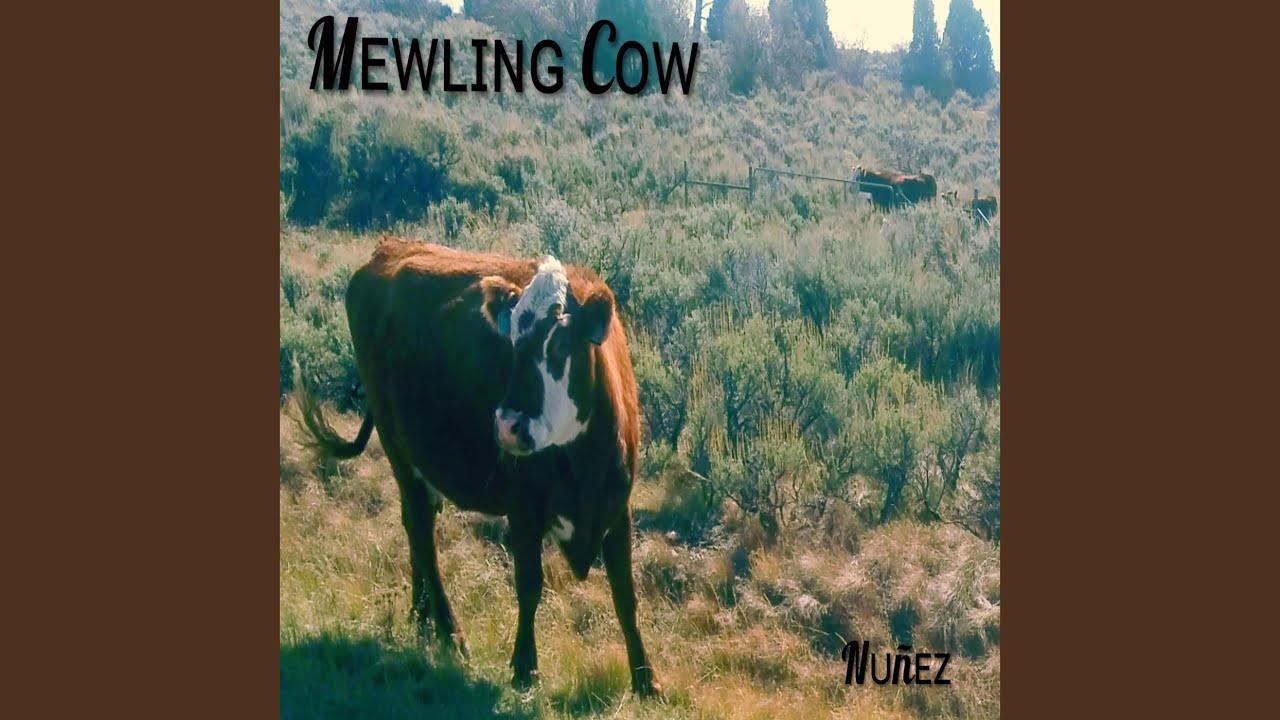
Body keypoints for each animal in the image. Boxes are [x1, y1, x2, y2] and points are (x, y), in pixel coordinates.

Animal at [294, 236, 663, 698]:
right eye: (512, 344)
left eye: (560, 346)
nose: (508, 425)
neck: (583, 464)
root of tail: (390, 249)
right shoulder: (523, 508)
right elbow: (529, 585)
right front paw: (524, 666)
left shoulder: (618, 508)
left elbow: (625, 594)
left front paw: (646, 679)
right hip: (398, 448)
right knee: (421, 531)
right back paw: (449, 630)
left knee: (415, 527)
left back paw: (421, 615)